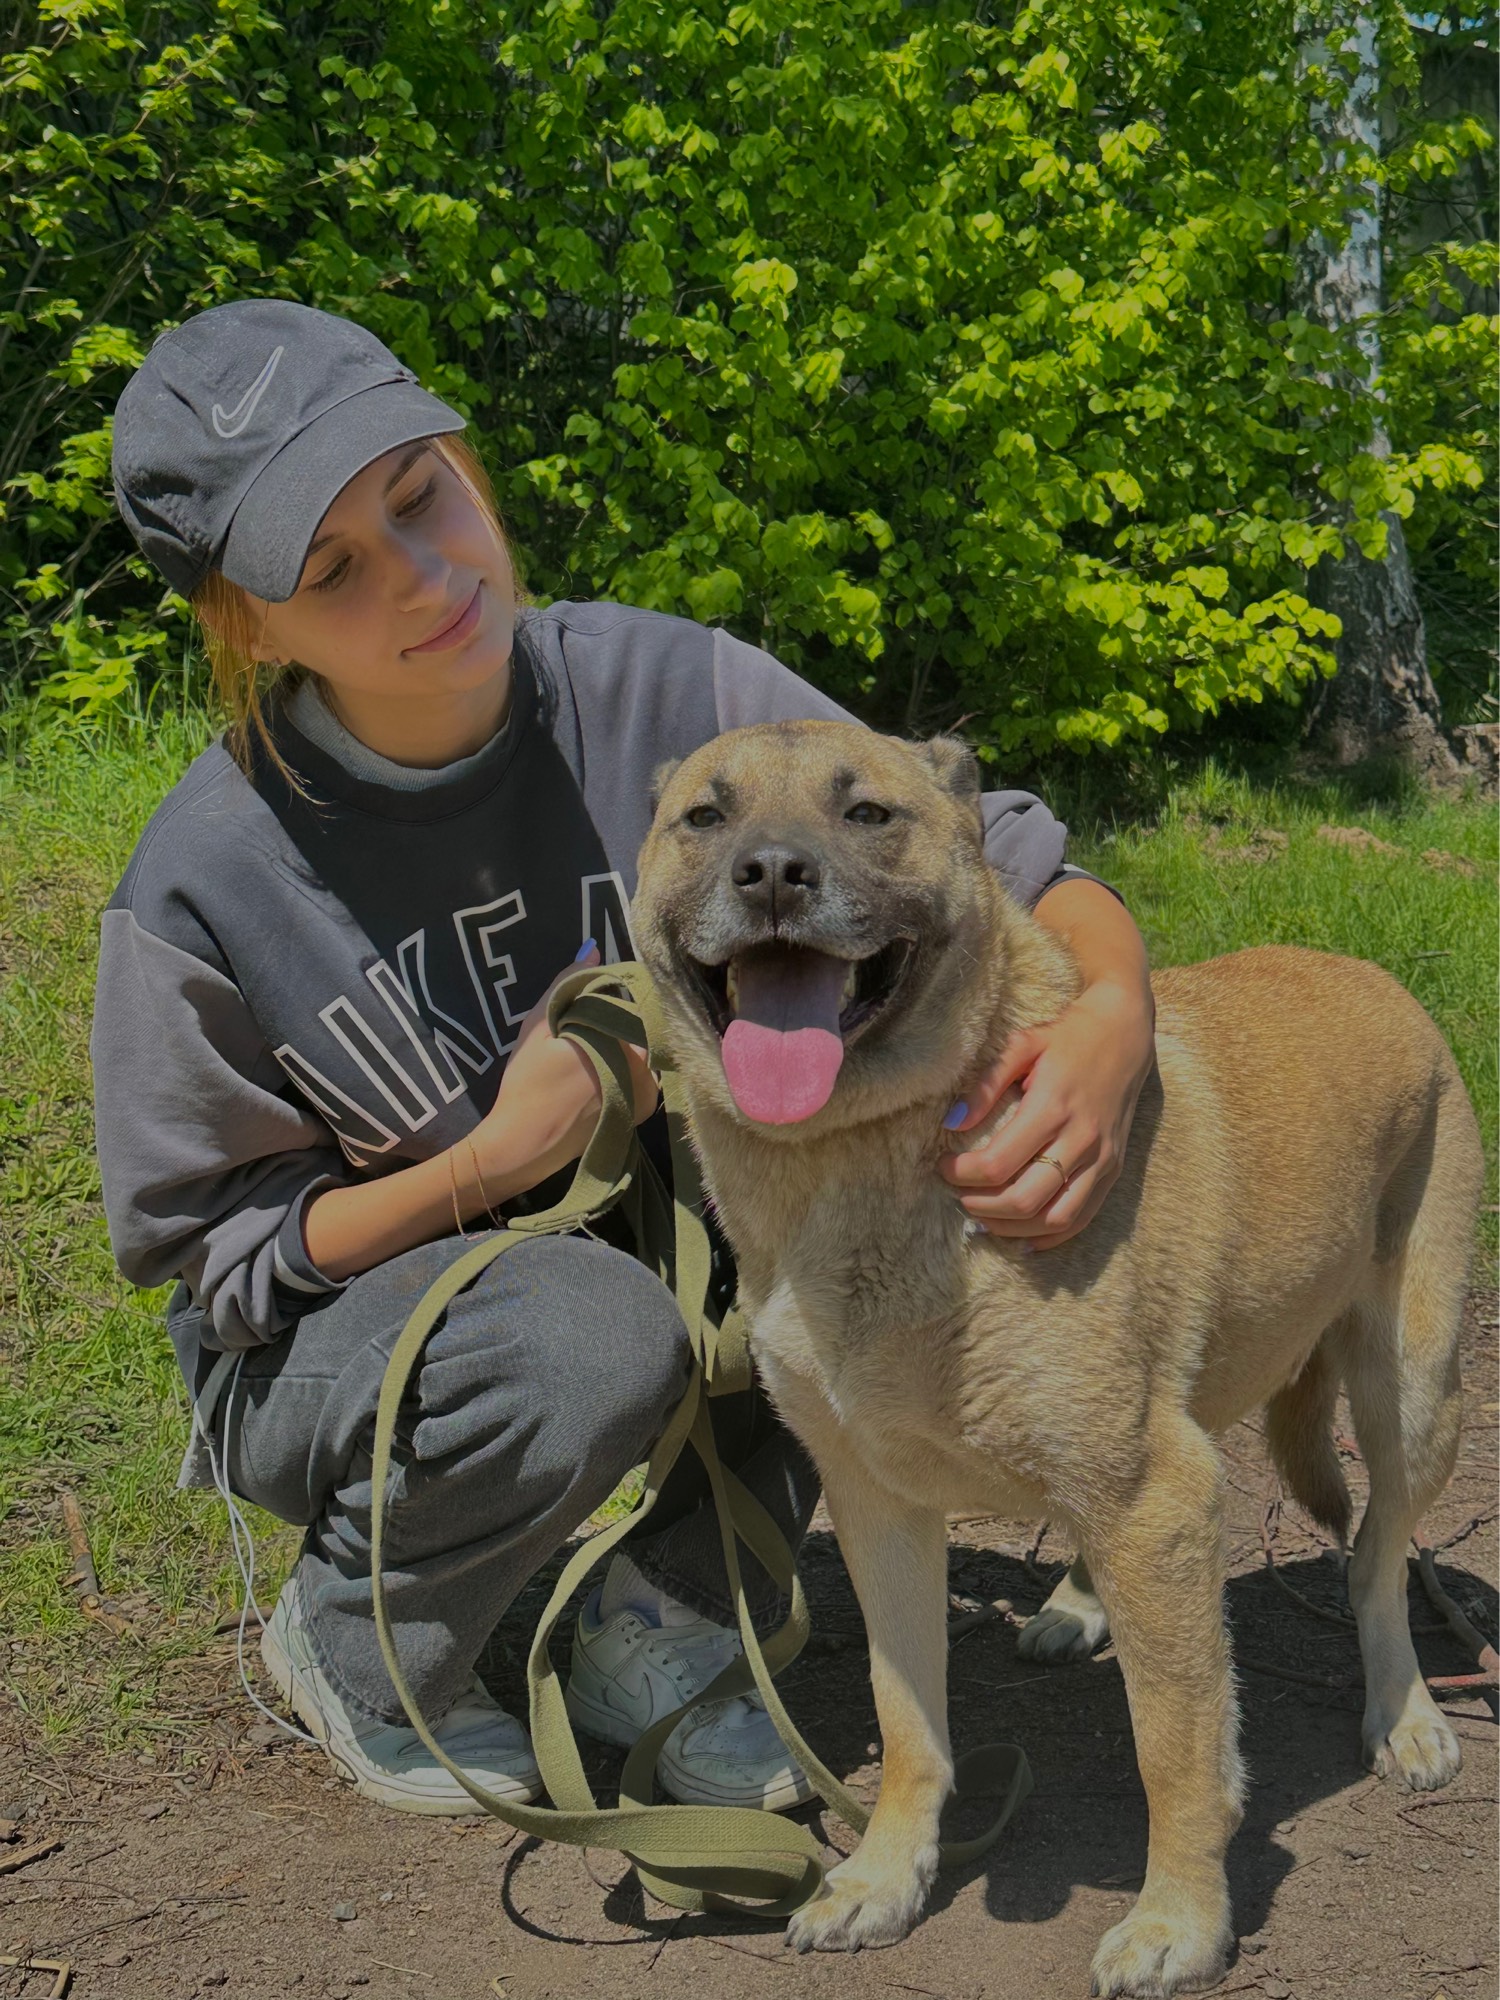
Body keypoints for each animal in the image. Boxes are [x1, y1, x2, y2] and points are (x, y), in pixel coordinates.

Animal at [628, 724, 1488, 2000]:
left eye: (869, 812)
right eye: (705, 816)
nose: (774, 873)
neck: (871, 1155)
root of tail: (1379, 974)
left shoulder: (1157, 1494)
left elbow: (1175, 1746)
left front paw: (1181, 1917)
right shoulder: (880, 1502)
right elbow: (904, 1718)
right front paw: (884, 1875)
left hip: (1411, 1394)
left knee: (1377, 1561)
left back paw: (1409, 1716)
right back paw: (1080, 1601)